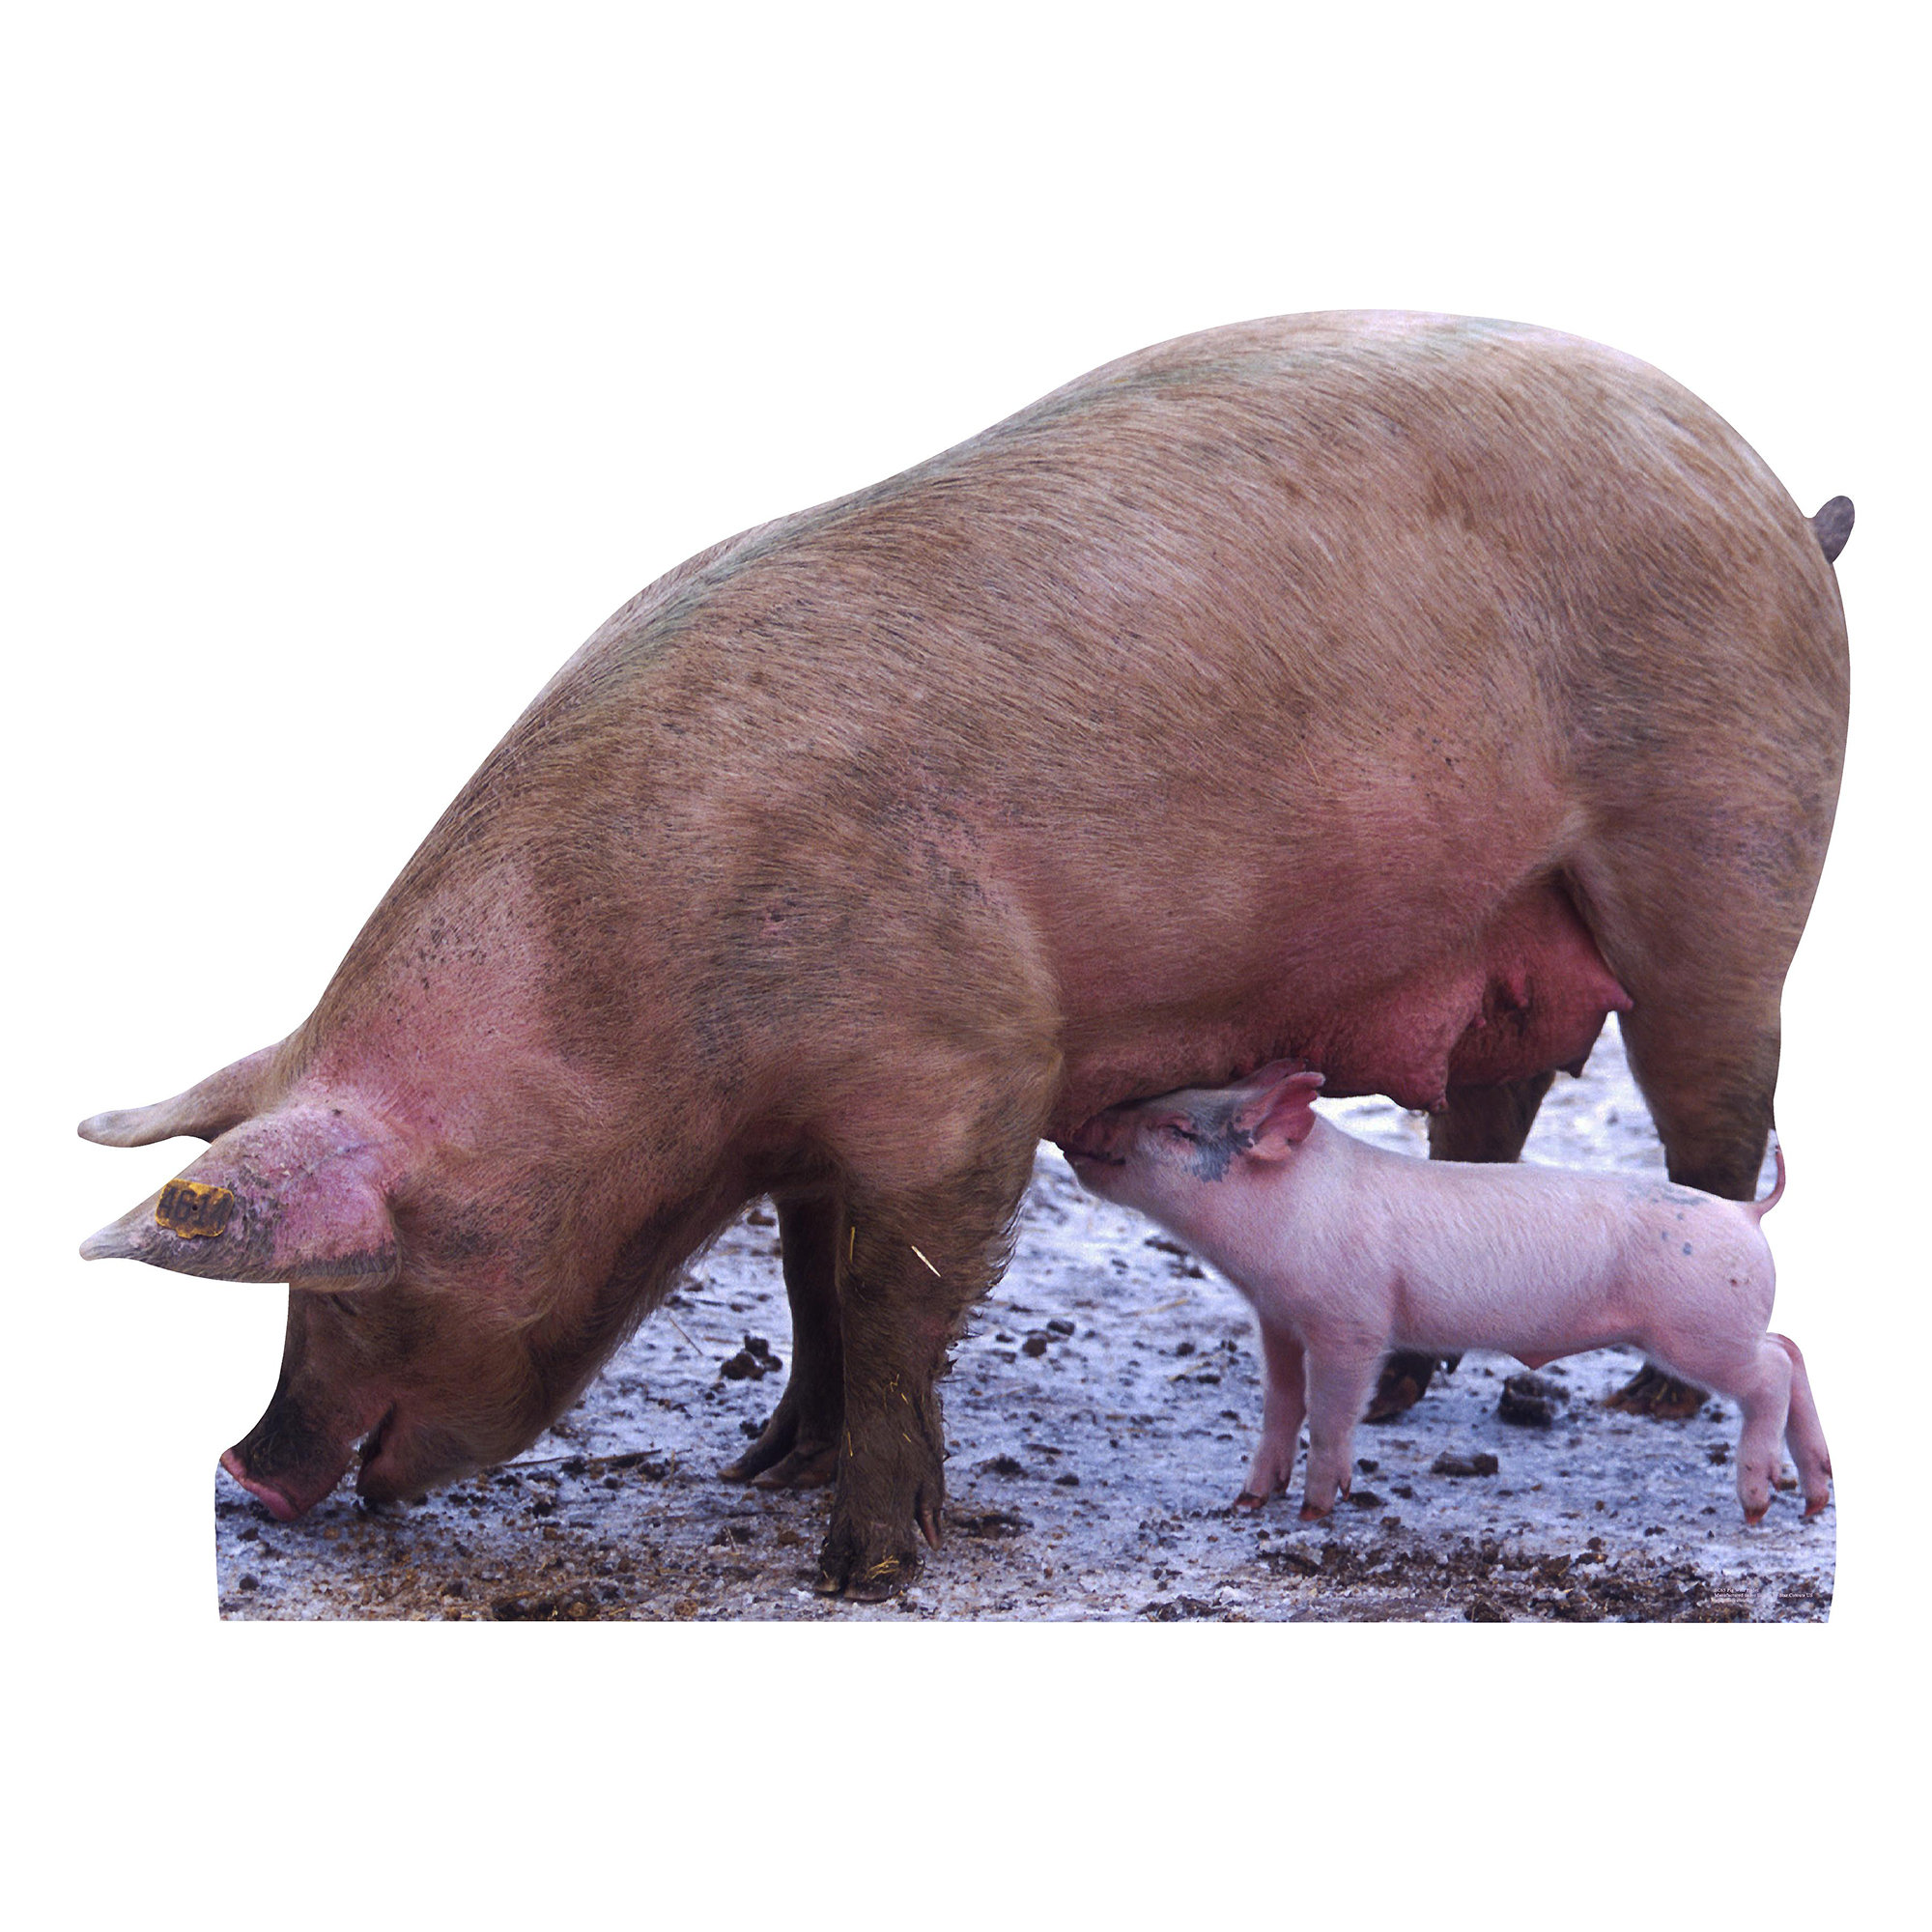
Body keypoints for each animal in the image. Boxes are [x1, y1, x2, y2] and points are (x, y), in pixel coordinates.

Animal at [1064, 1063, 1831, 1524]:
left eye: (1176, 1129)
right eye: (1163, 1102)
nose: (1079, 1124)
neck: (1285, 1215)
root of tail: (1747, 1213)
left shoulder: (1351, 1320)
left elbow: (1332, 1411)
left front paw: (1315, 1512)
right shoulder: (1278, 1319)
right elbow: (1280, 1404)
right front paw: (1247, 1502)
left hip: (1698, 1328)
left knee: (1770, 1371)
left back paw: (1758, 1504)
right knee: (1791, 1351)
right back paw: (1815, 1500)